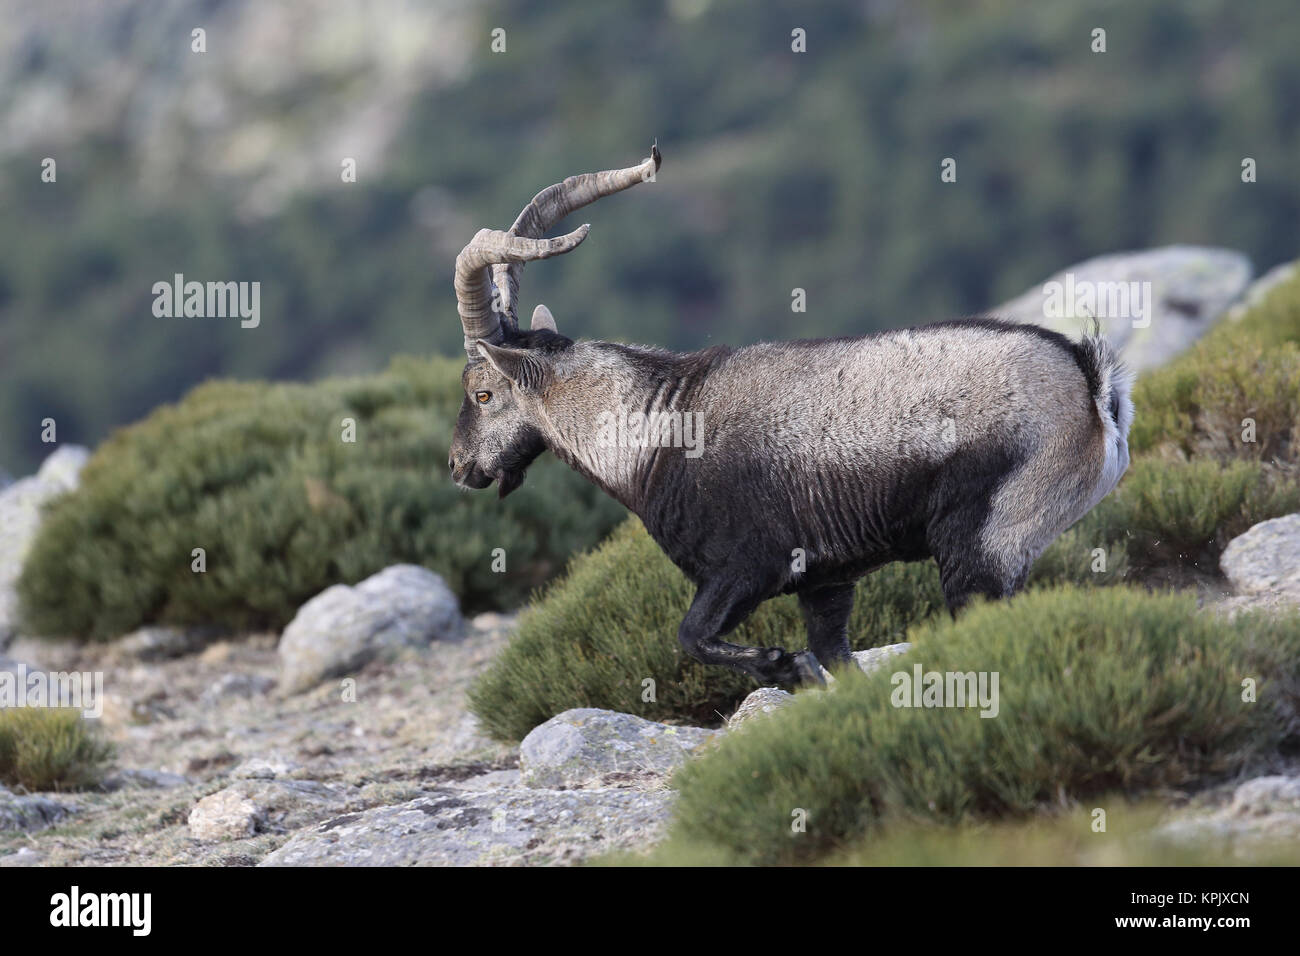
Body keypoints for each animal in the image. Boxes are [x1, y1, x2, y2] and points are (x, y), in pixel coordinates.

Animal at [447, 146, 1134, 687]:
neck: (651, 432)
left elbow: (691, 635)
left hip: (985, 542)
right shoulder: (825, 581)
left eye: (481, 393)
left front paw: (783, 666)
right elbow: (835, 653)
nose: (458, 466)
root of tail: (1089, 384)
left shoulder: (747, 566)